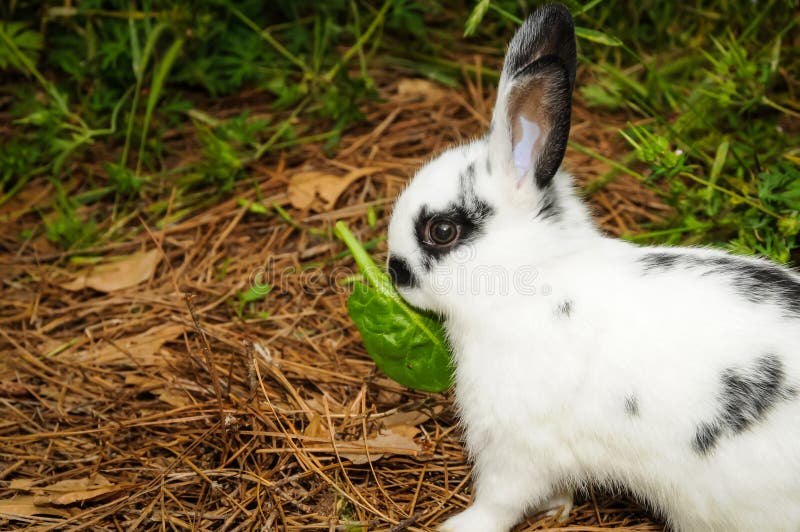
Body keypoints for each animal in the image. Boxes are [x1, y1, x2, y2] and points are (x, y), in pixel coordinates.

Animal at [385, 3, 800, 532]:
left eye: (441, 231)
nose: (394, 271)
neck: (530, 276)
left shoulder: (518, 446)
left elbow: (500, 500)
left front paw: (460, 525)